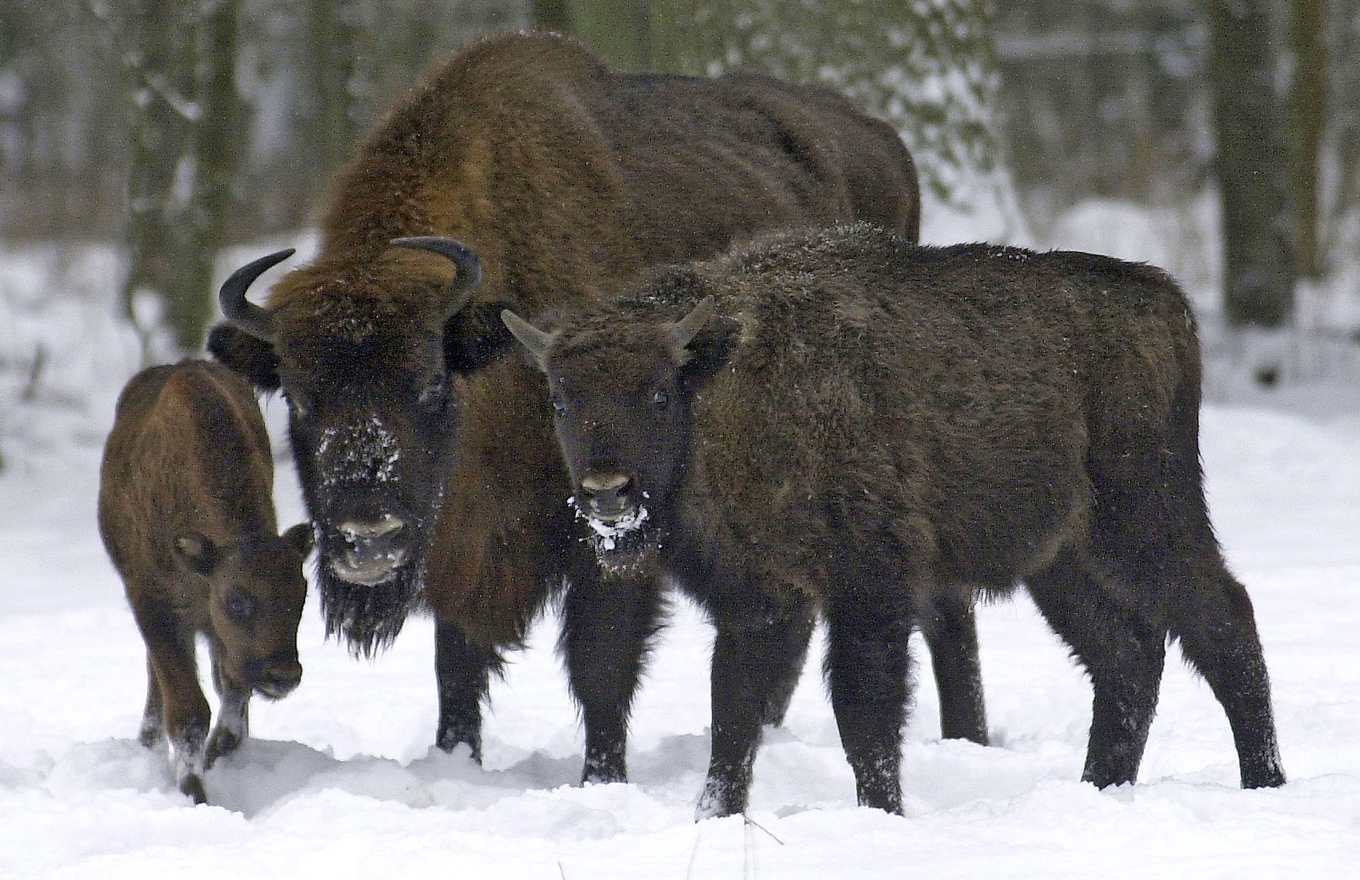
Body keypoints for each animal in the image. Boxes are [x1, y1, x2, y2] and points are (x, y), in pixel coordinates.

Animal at [98, 359, 313, 804]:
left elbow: (232, 689)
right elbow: (188, 710)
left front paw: (217, 755)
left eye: (301, 596)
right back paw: (148, 744)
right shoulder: (155, 608)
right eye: (237, 600)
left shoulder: (222, 635)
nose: (283, 675)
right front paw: (194, 792)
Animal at [207, 31, 988, 782]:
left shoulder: (609, 536)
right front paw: (457, 758)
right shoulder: (468, 545)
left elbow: (600, 669)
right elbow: (457, 667)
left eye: (430, 383)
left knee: (943, 599)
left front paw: (601, 780)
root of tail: (884, 142)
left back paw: (969, 741)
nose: (368, 538)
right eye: (299, 397)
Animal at [501, 223, 1286, 817]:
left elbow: (864, 713)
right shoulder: (758, 600)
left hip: (1147, 518)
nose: (607, 493)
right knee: (1127, 654)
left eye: (659, 394)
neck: (724, 384)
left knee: (1223, 621)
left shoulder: (867, 586)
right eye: (561, 400)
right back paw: (1098, 790)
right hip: (1058, 562)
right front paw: (714, 819)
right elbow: (734, 717)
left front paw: (882, 813)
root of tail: (1167, 303)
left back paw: (1265, 785)